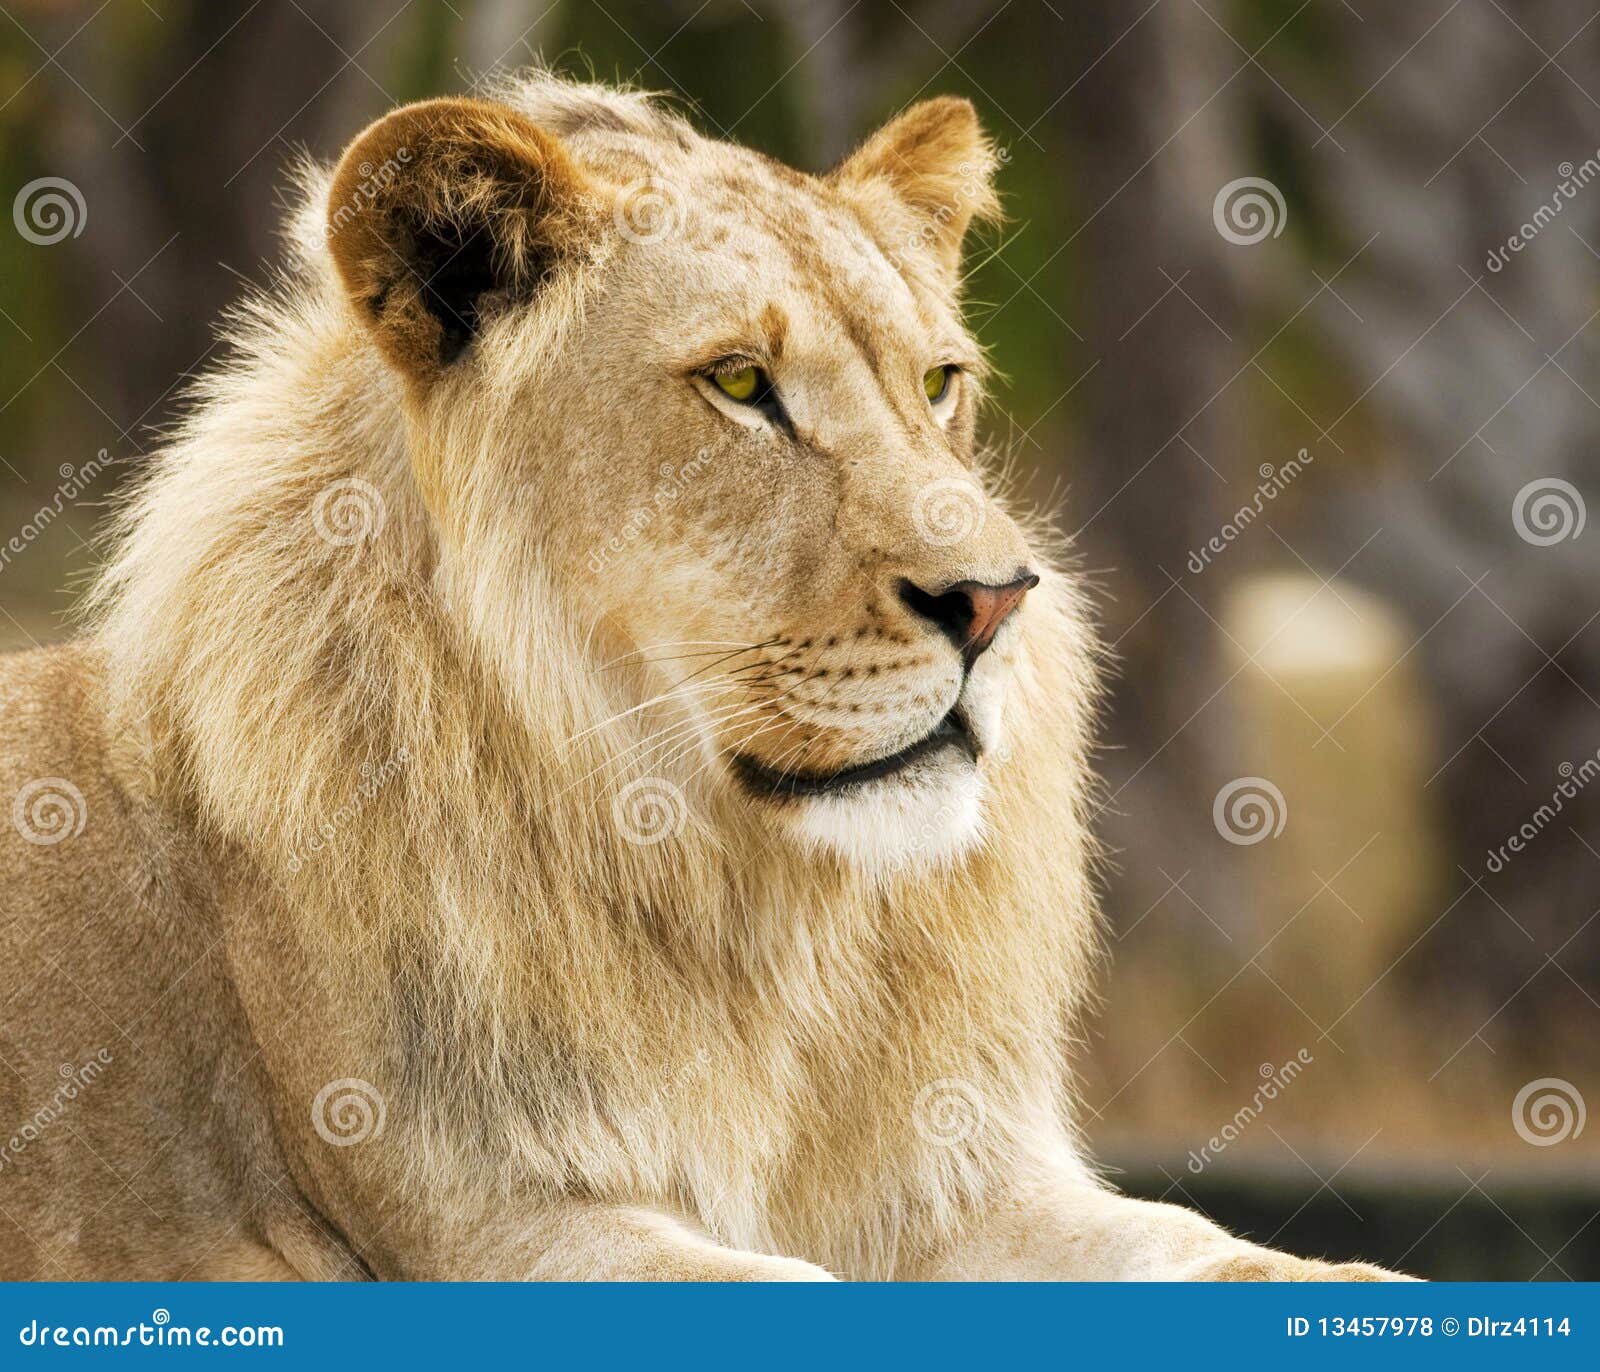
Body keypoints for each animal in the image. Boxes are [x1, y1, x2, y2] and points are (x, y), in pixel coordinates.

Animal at [0, 73, 1407, 1281]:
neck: (751, 910)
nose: (998, 601)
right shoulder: (483, 1219)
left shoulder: (958, 1180)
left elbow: (1235, 1254)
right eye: (739, 383)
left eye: (938, 383)